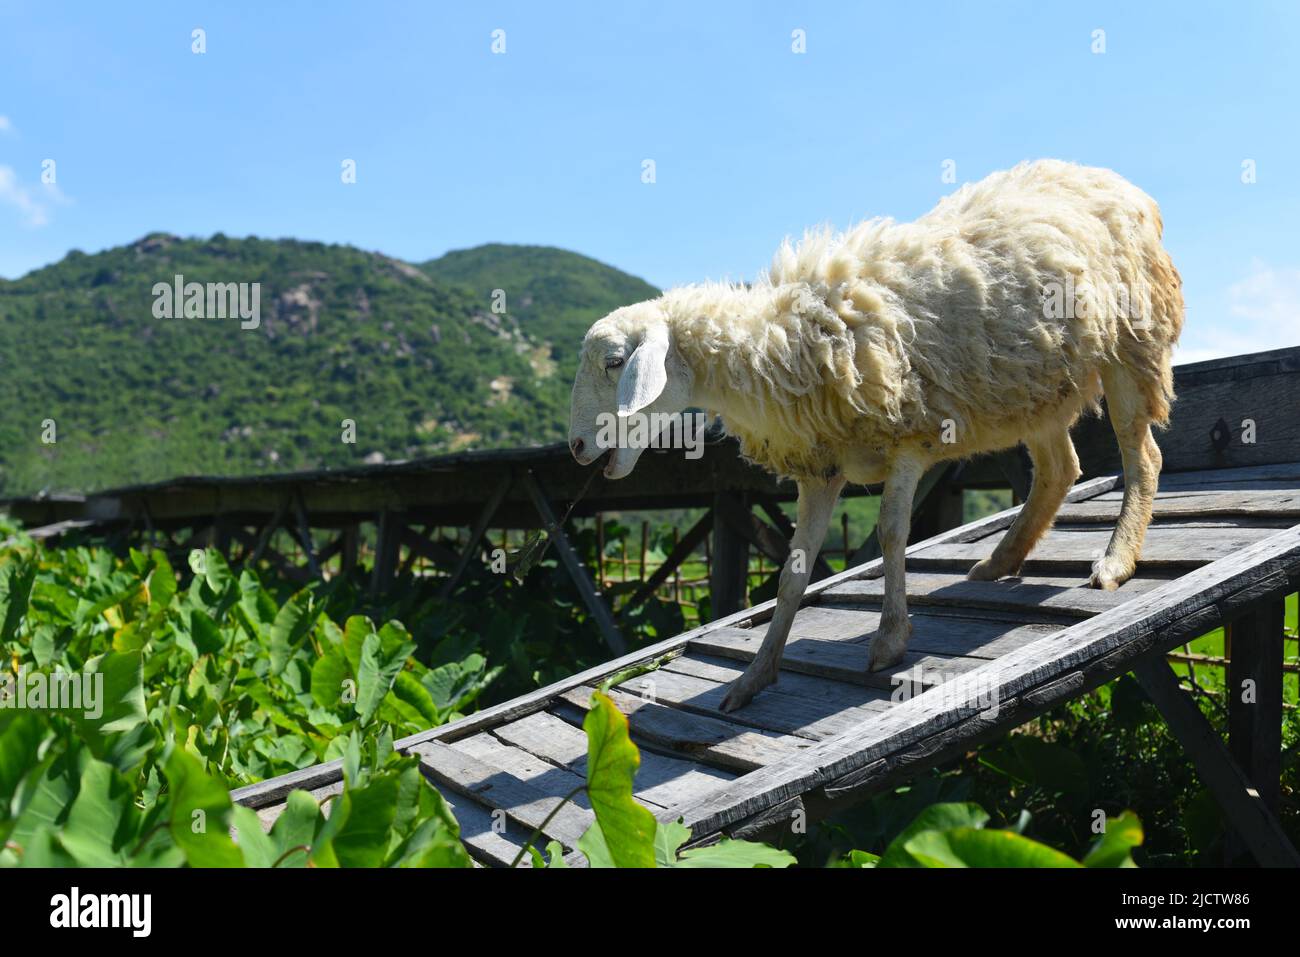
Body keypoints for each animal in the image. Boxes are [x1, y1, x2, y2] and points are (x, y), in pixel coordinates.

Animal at [569, 159, 1184, 712]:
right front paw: (755, 676)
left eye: (614, 362)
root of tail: (1119, 183)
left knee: (1143, 454)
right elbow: (792, 573)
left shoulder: (909, 435)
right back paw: (1000, 560)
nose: (576, 448)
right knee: (1060, 468)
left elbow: (891, 532)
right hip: (1033, 384)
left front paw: (890, 639)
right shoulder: (820, 467)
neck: (777, 341)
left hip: (1131, 338)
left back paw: (1116, 560)